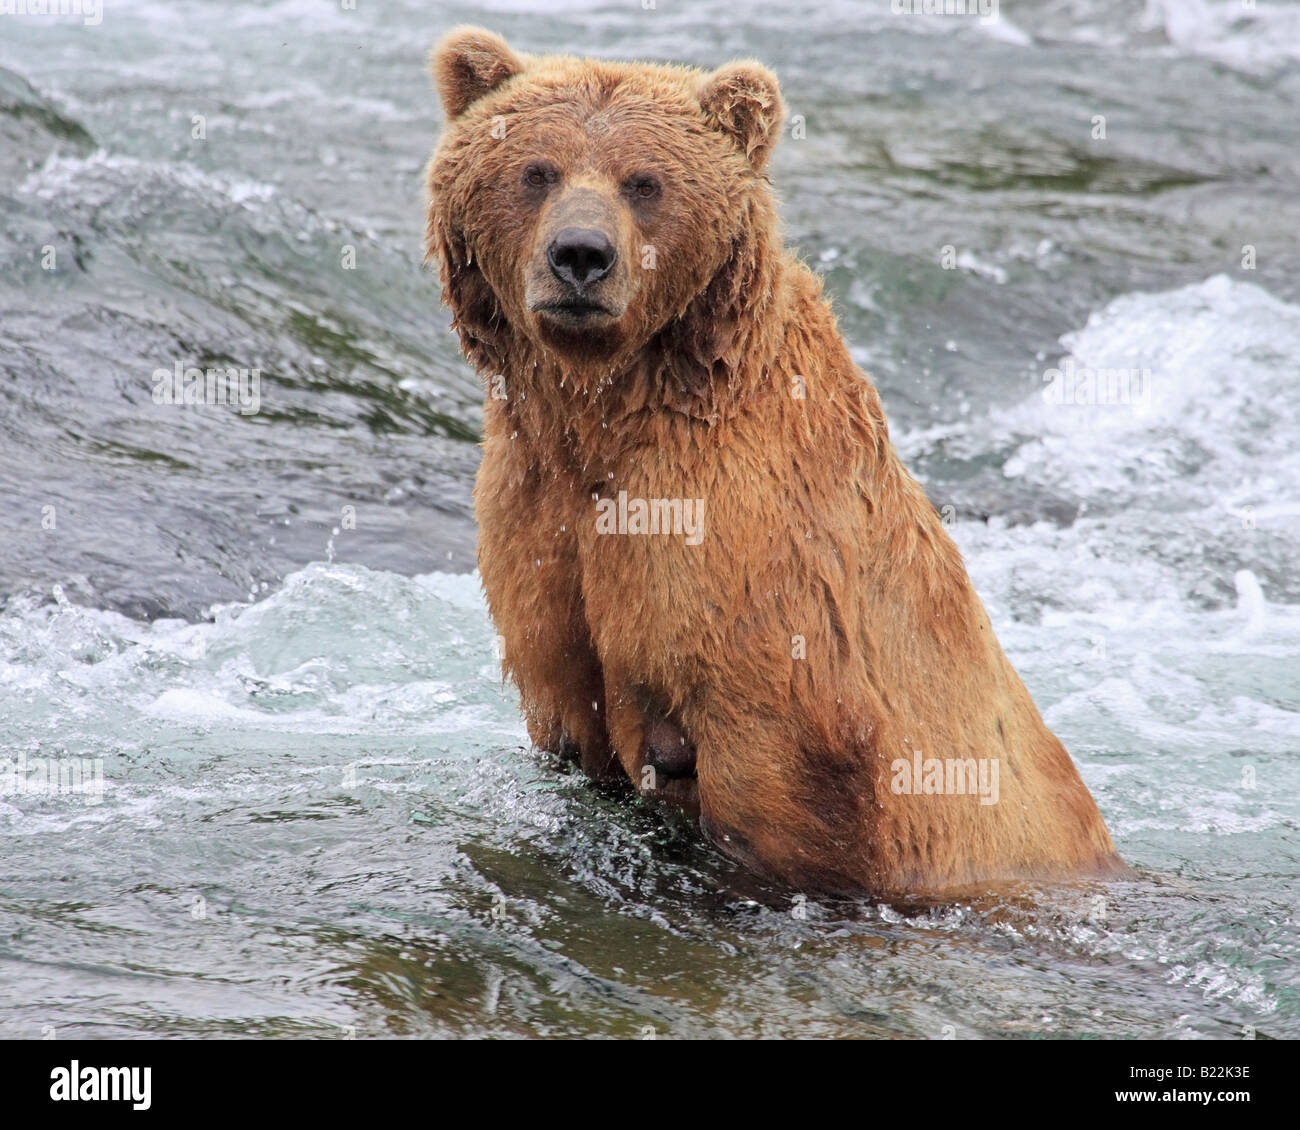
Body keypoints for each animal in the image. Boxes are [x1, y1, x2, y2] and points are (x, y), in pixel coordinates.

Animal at [423, 26, 1127, 896]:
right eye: (536, 169)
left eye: (644, 180)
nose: (580, 255)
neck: (601, 417)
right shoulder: (534, 521)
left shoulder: (742, 555)